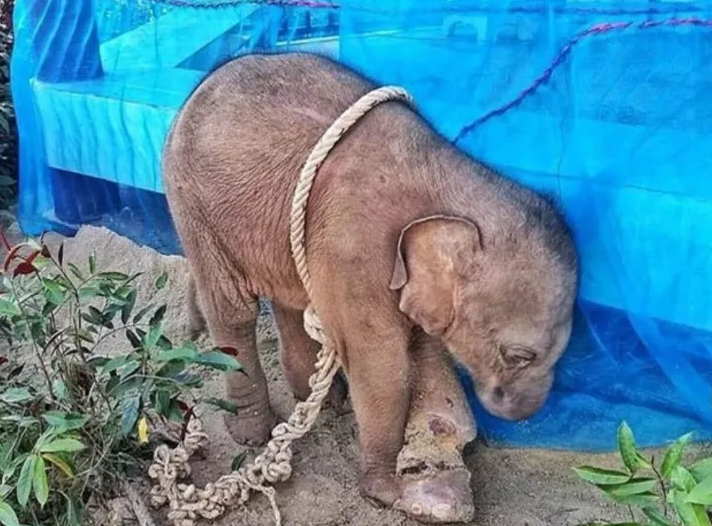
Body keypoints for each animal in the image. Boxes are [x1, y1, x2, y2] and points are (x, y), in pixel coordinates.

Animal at [163, 52, 578, 522]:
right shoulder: (354, 247)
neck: (452, 181)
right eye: (519, 356)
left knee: (288, 301)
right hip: (193, 204)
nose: (526, 412)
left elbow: (422, 349)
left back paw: (325, 398)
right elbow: (382, 363)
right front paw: (388, 492)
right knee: (234, 310)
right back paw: (255, 432)